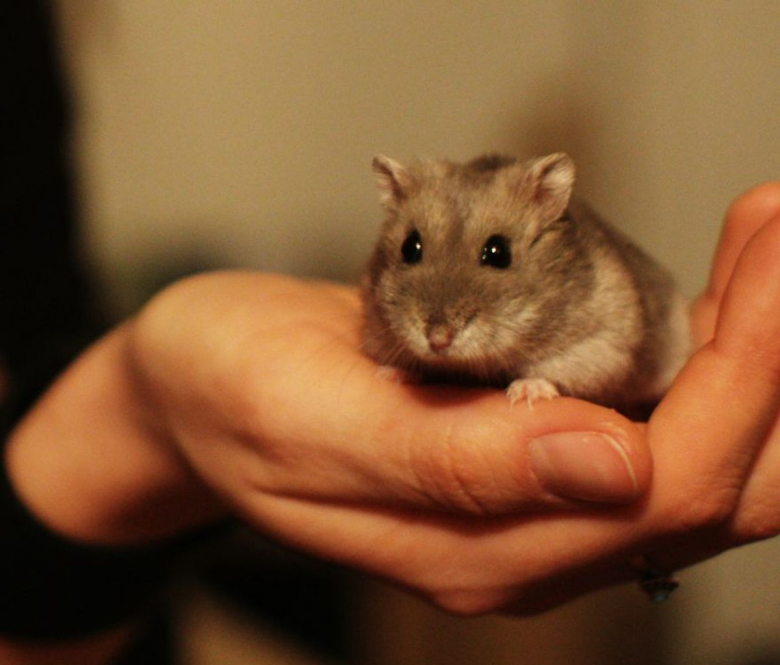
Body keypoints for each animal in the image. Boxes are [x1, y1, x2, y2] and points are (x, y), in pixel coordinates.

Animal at [360, 152, 691, 410]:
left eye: (498, 252)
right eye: (409, 247)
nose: (438, 340)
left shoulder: (602, 345)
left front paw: (526, 392)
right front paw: (391, 374)